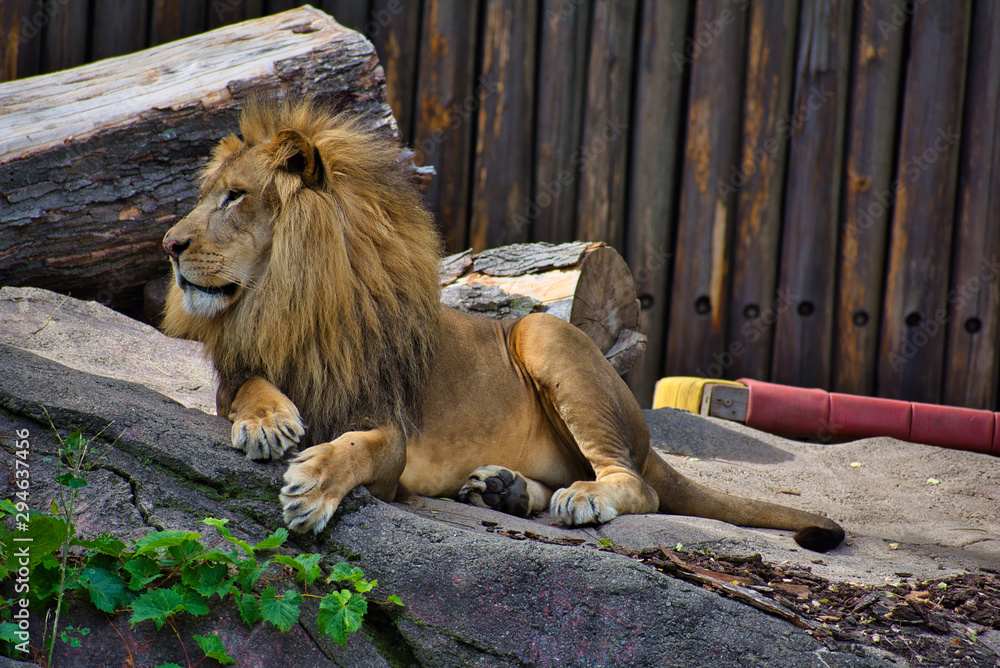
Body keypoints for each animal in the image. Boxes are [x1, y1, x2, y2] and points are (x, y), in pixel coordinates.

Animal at [162, 99, 844, 552]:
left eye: (234, 196)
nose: (169, 244)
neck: (287, 299)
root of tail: (649, 442)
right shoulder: (244, 366)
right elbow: (248, 385)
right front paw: (268, 423)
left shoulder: (390, 429)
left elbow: (365, 446)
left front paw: (311, 487)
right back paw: (503, 491)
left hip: (547, 338)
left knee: (632, 483)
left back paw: (580, 497)